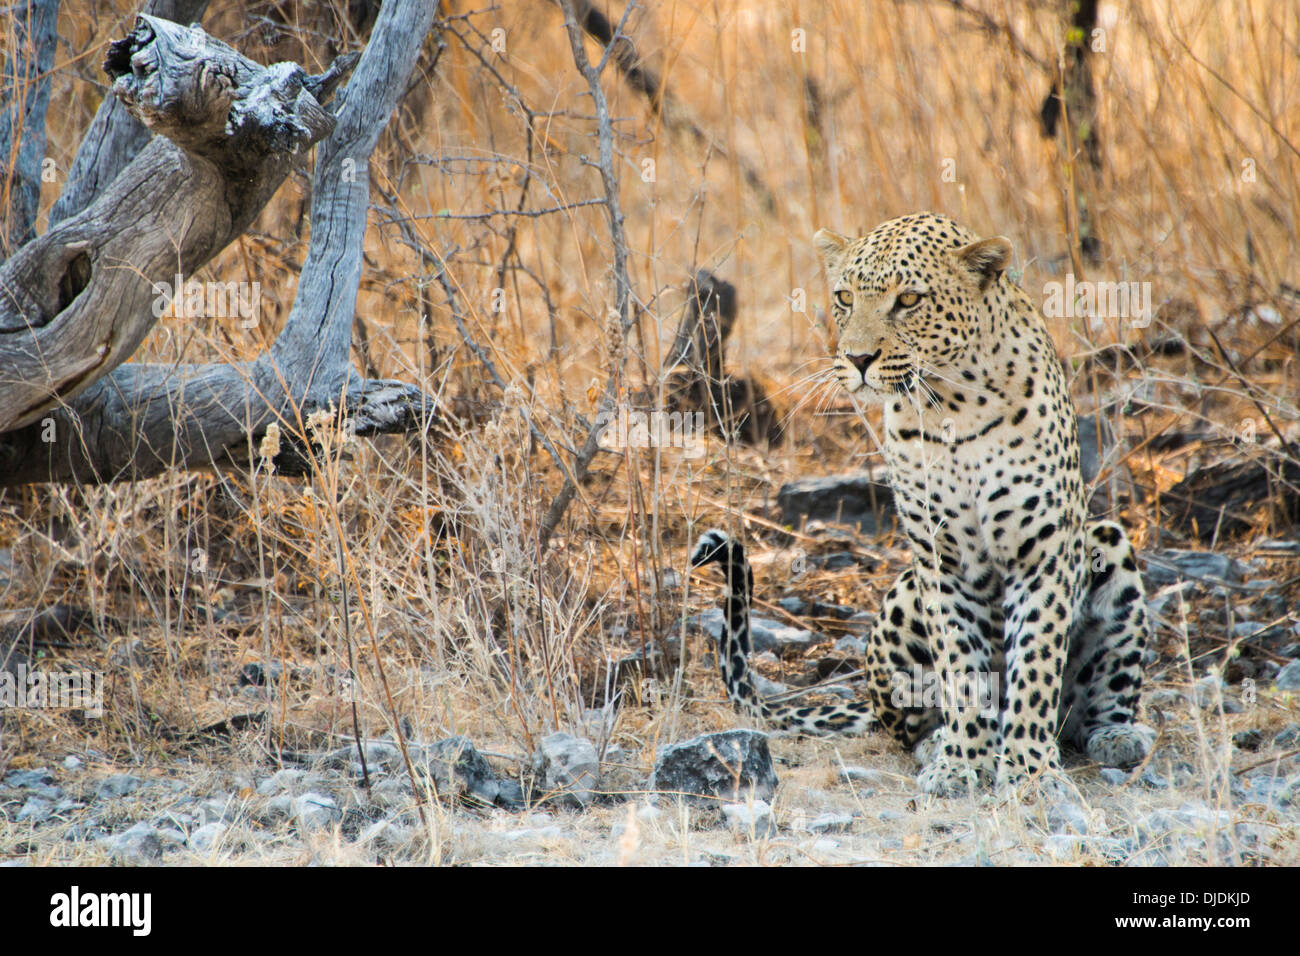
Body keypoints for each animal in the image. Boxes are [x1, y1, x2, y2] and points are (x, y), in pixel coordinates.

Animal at [689, 211, 1154, 797]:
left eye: (908, 300)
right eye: (844, 297)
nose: (857, 359)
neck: (954, 405)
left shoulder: (1041, 555)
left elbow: (1033, 669)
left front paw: (1029, 772)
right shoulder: (941, 562)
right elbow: (961, 667)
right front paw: (962, 762)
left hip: (1106, 543)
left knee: (1097, 700)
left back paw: (1117, 735)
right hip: (903, 596)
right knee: (901, 723)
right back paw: (936, 744)